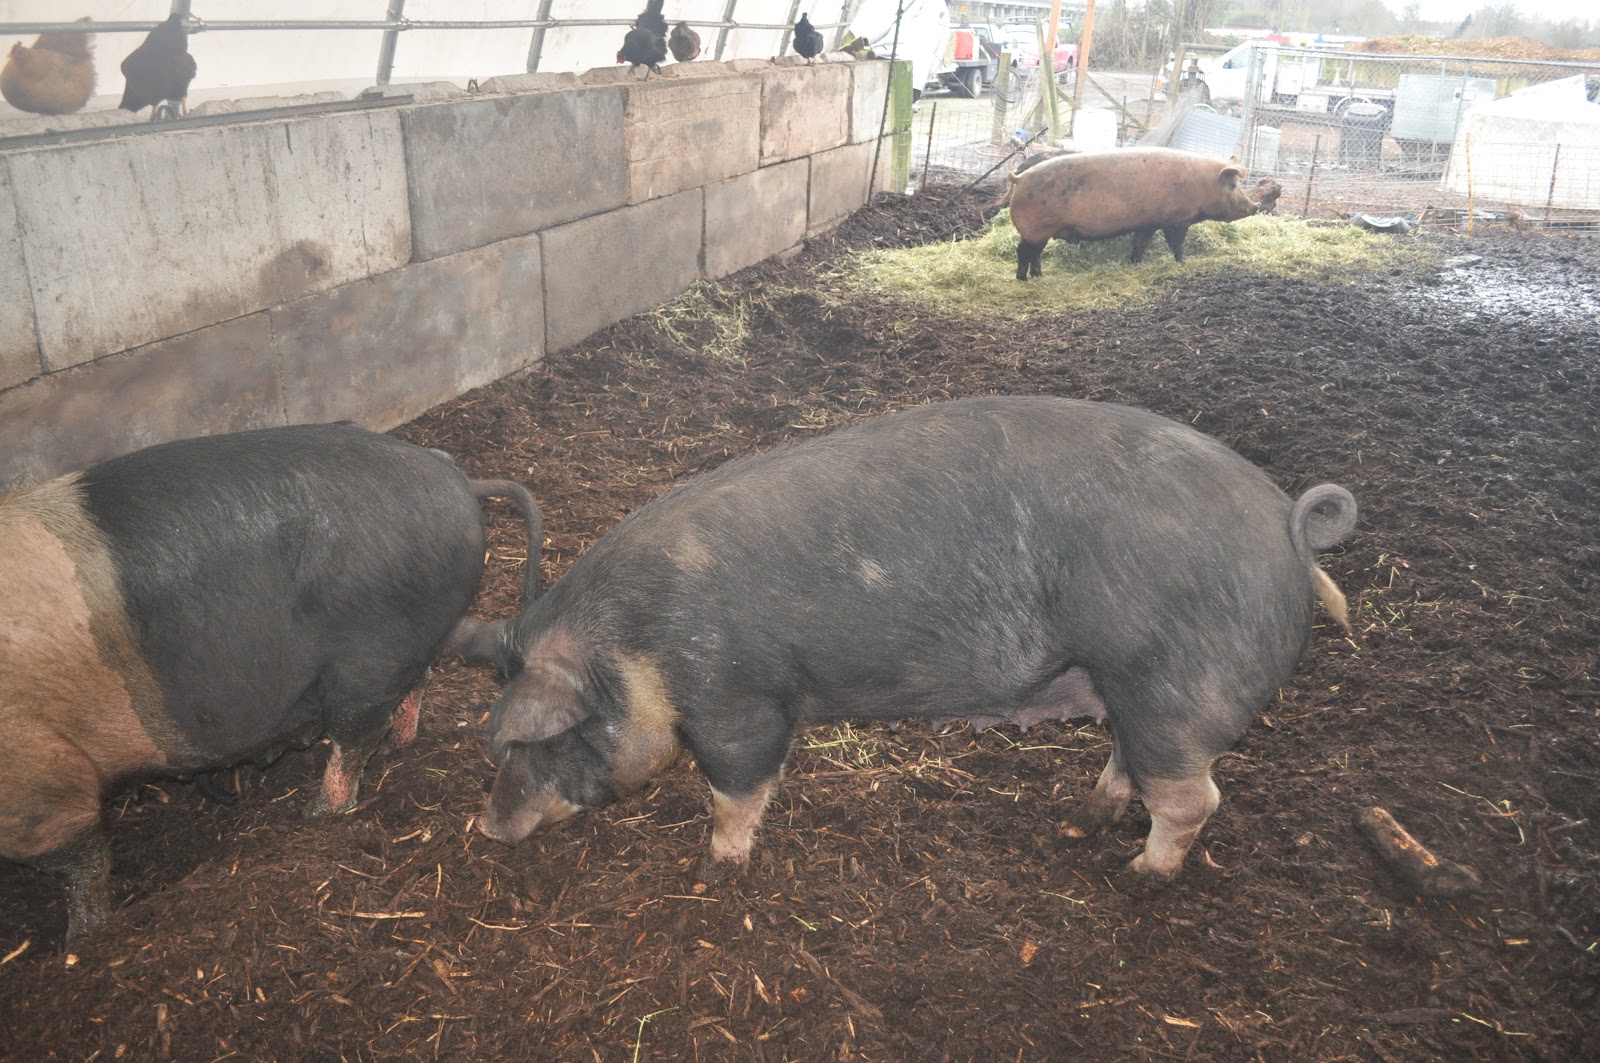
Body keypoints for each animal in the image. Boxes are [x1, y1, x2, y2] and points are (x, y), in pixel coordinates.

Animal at [0, 423, 542, 946]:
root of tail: (453, 474)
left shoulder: (36, 774)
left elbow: (76, 856)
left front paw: (80, 941)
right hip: (408, 641)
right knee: (412, 688)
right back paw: (397, 749)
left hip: (371, 651)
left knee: (357, 731)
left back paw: (316, 814)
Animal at [465, 396, 1356, 886]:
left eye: (544, 736)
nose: (487, 828)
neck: (634, 646)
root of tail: (1289, 527)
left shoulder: (736, 698)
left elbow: (737, 788)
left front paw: (715, 869)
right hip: (1130, 688)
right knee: (1131, 760)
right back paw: (1085, 819)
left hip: (1173, 685)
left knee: (1192, 796)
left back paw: (1138, 874)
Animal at [1007, 147, 1259, 280]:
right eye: (1233, 186)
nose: (1256, 205)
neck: (1201, 185)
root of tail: (1019, 178)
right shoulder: (1177, 220)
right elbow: (1177, 244)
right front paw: (1183, 263)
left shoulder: (1148, 223)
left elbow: (1140, 243)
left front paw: (1134, 263)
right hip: (1034, 228)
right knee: (1023, 252)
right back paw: (1022, 279)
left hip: (1041, 232)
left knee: (1036, 254)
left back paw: (1039, 276)